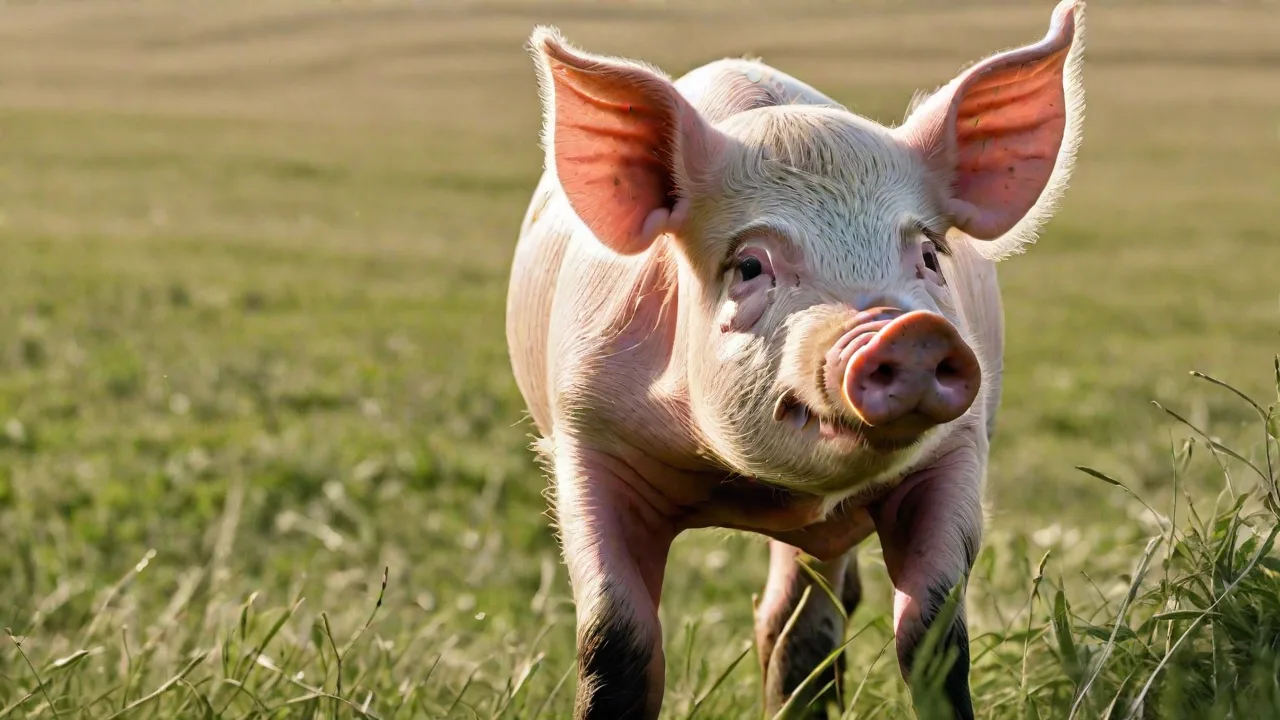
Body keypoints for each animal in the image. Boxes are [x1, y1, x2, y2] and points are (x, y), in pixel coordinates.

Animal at [505, 1, 1086, 718]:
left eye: (927, 255)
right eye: (751, 265)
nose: (905, 329)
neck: (757, 491)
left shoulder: (958, 449)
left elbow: (935, 636)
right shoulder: (589, 434)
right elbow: (616, 639)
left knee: (802, 615)